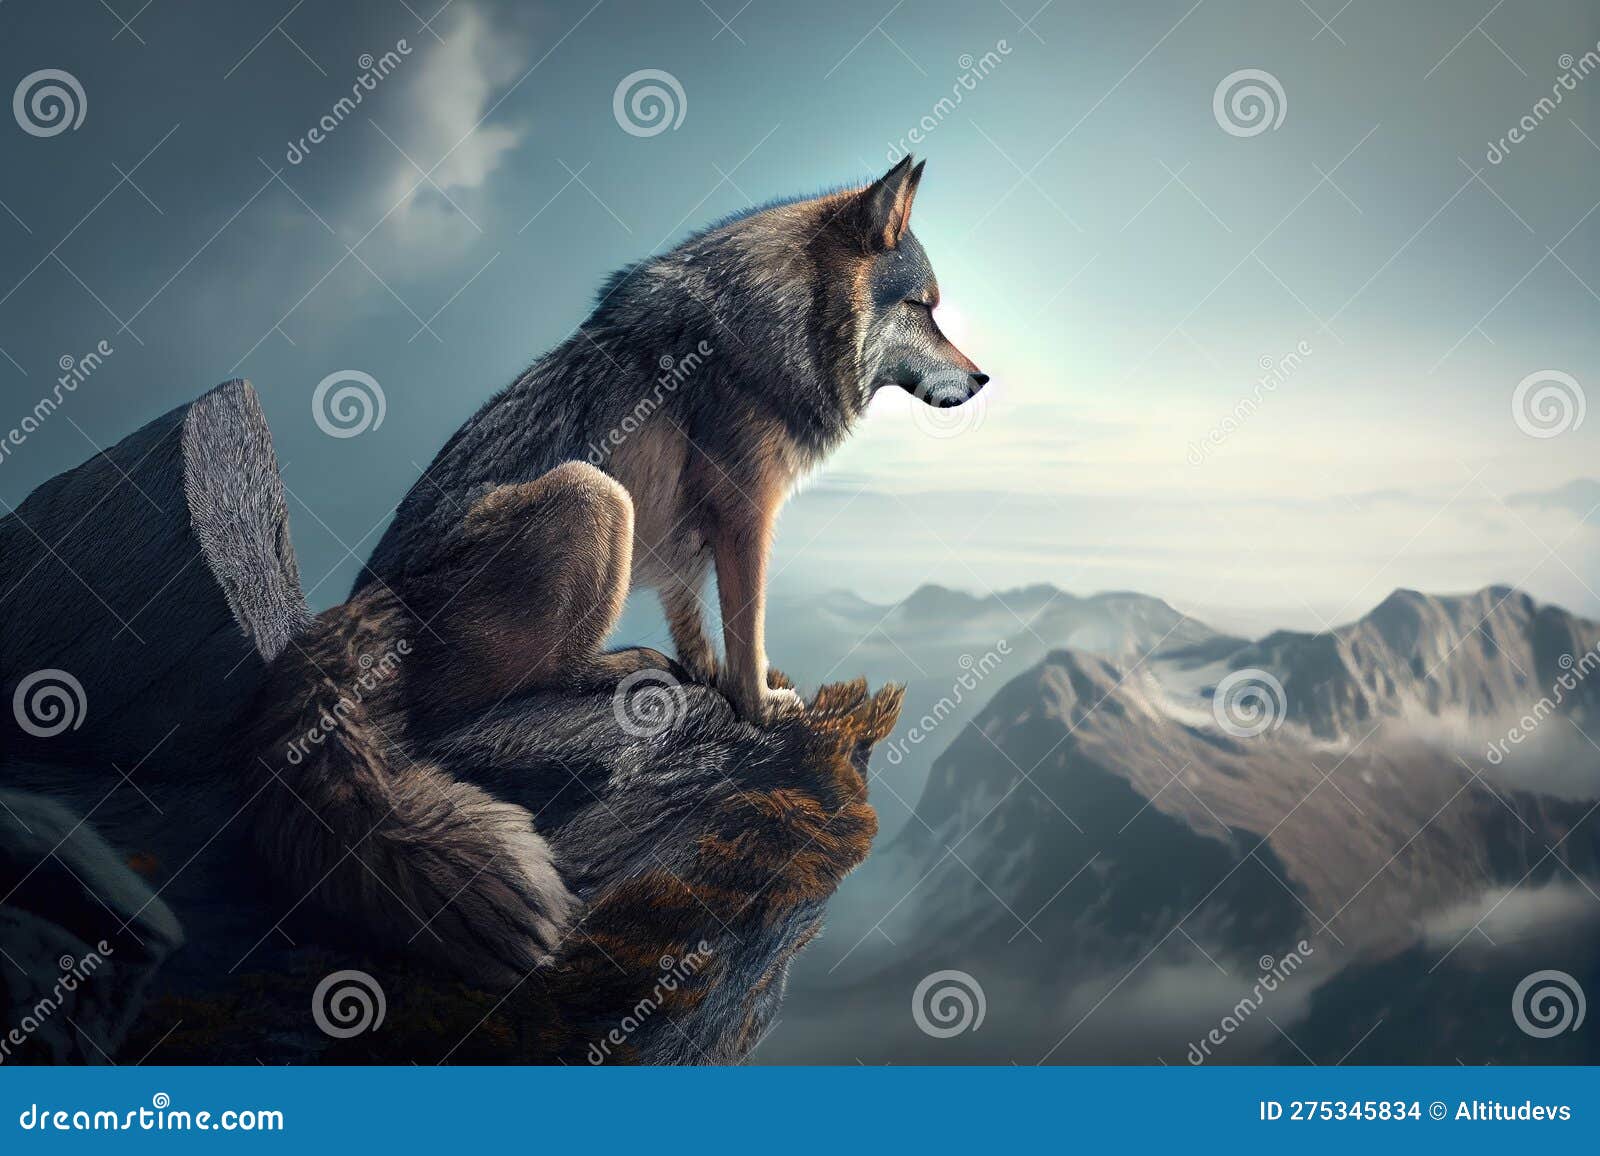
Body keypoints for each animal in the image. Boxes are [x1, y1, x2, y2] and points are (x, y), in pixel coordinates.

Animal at [359, 156, 986, 722]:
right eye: (923, 308)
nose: (983, 379)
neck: (788, 321)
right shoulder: (744, 513)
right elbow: (748, 628)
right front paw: (758, 706)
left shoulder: (686, 541)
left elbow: (694, 623)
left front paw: (710, 678)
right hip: (597, 494)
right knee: (525, 680)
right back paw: (628, 663)